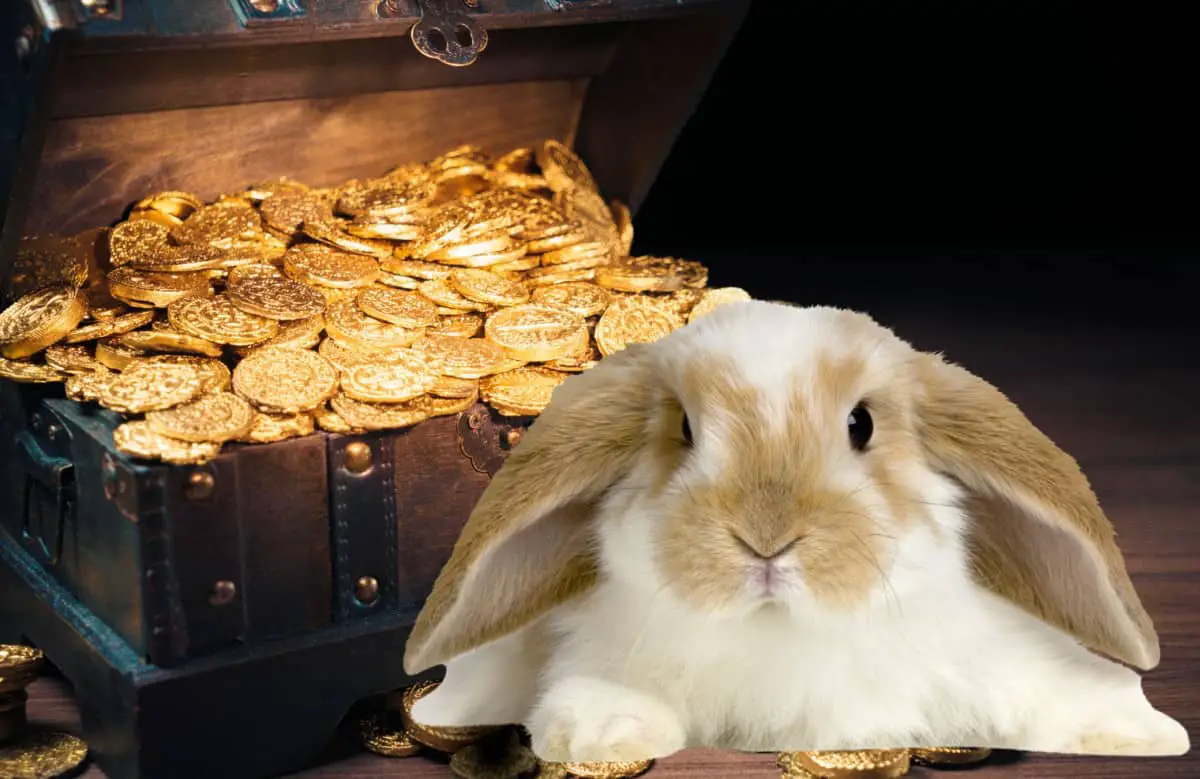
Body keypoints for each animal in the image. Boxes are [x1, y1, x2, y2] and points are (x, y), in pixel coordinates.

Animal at [403, 300, 1189, 762]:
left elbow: (1053, 694)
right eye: (684, 429)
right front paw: (596, 733)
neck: (779, 630)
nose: (766, 537)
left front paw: (1150, 735)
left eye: (862, 424)